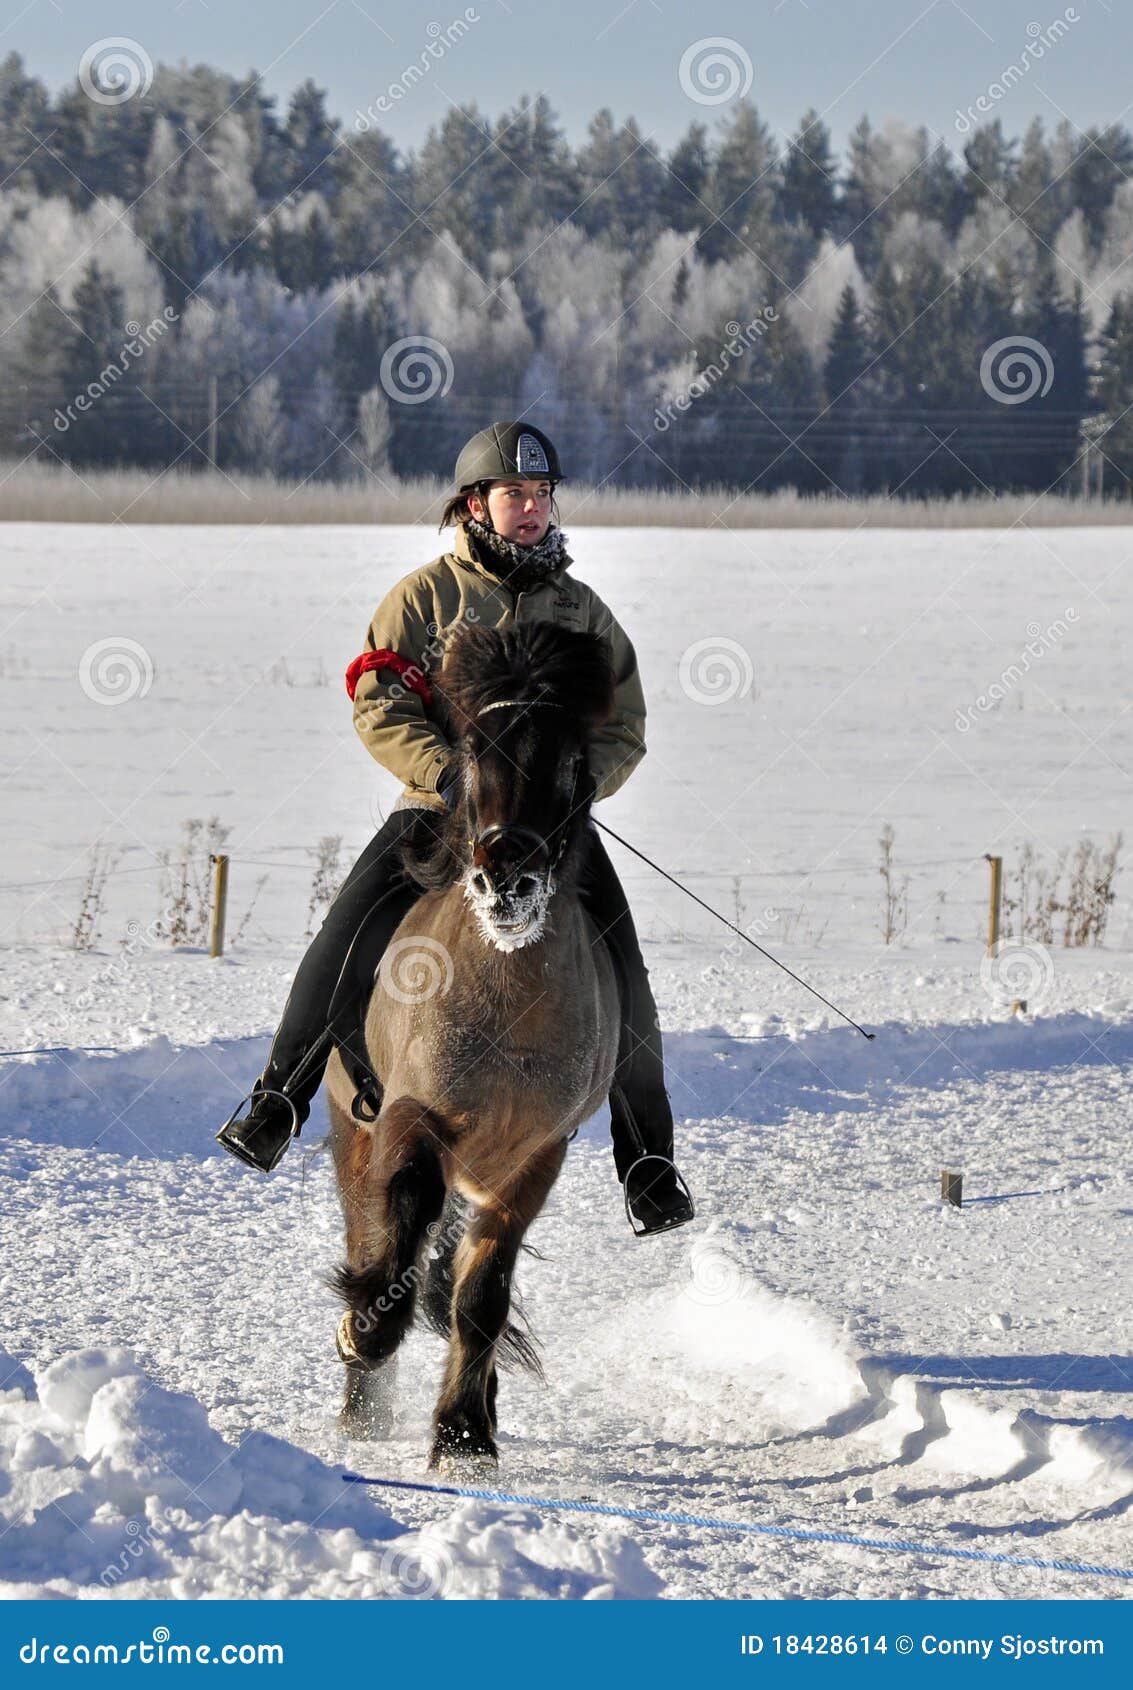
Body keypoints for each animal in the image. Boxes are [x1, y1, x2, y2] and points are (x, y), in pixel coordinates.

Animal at [323, 621, 623, 1472]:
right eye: (471, 749)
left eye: (569, 760)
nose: (506, 879)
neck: (506, 1007)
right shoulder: (408, 1117)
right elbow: (404, 1216)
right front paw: (366, 1330)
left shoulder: (532, 1157)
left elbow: (481, 1296)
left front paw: (461, 1432)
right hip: (352, 1133)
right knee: (373, 1225)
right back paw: (361, 1397)